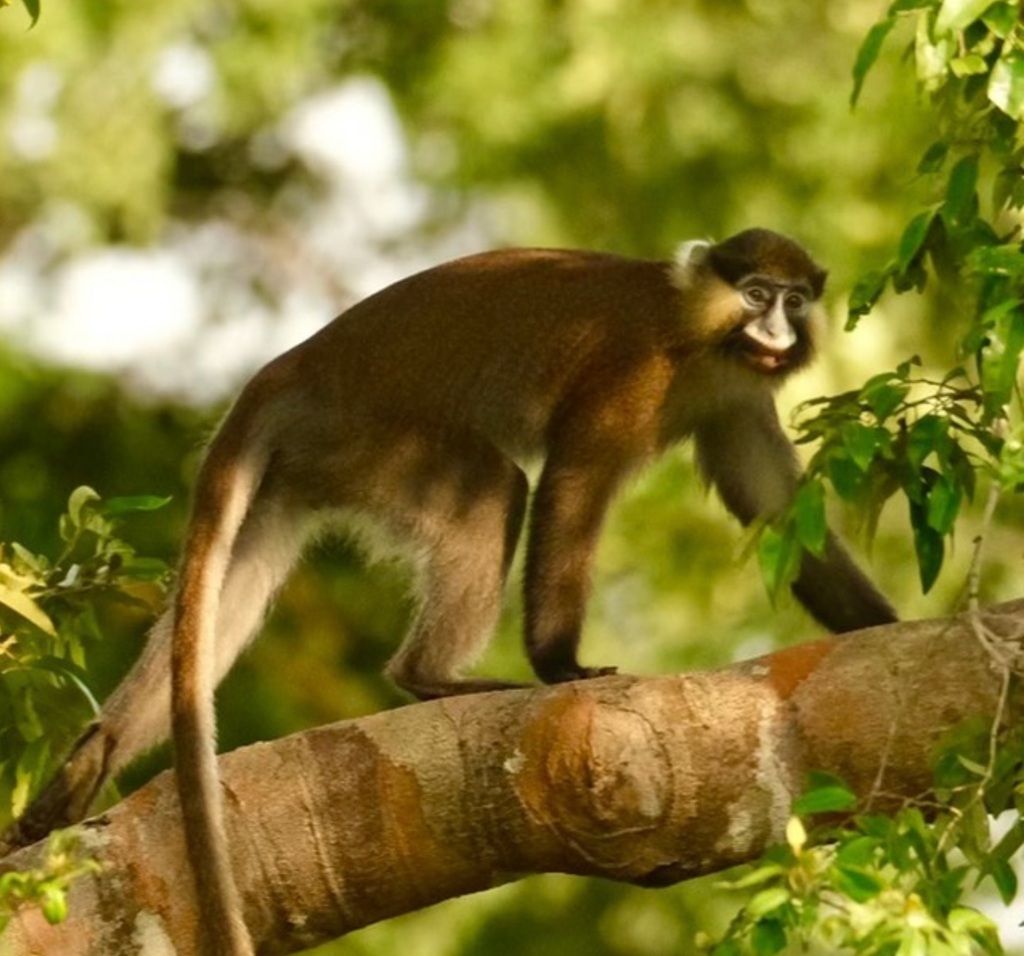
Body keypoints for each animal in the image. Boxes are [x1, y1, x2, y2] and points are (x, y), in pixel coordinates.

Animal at [2, 229, 896, 955]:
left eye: (794, 298)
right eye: (755, 294)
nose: (776, 328)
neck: (702, 340)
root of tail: (289, 369)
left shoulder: (739, 397)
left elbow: (781, 513)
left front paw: (885, 626)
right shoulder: (634, 376)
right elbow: (574, 480)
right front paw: (561, 667)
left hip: (306, 468)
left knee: (224, 604)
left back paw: (89, 760)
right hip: (379, 441)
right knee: (493, 493)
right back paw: (431, 677)